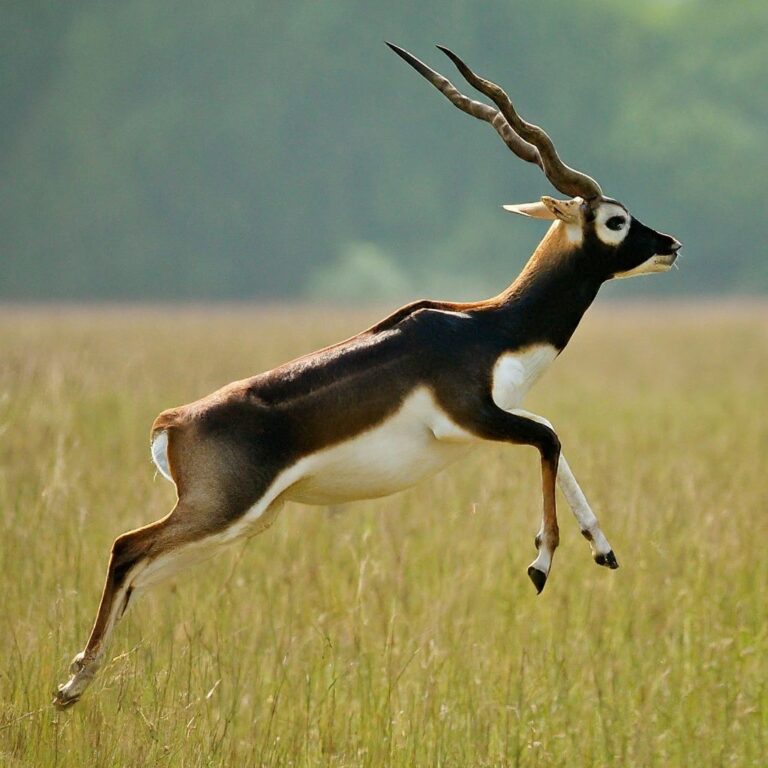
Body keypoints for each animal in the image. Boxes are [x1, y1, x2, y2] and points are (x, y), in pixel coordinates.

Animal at [54, 43, 681, 708]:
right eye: (615, 220)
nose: (670, 244)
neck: (493, 327)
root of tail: (172, 421)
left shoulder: (500, 416)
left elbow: (553, 436)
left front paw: (602, 547)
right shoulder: (474, 419)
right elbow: (549, 438)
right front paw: (541, 564)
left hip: (241, 524)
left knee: (139, 575)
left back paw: (76, 679)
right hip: (222, 511)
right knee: (126, 549)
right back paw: (70, 685)